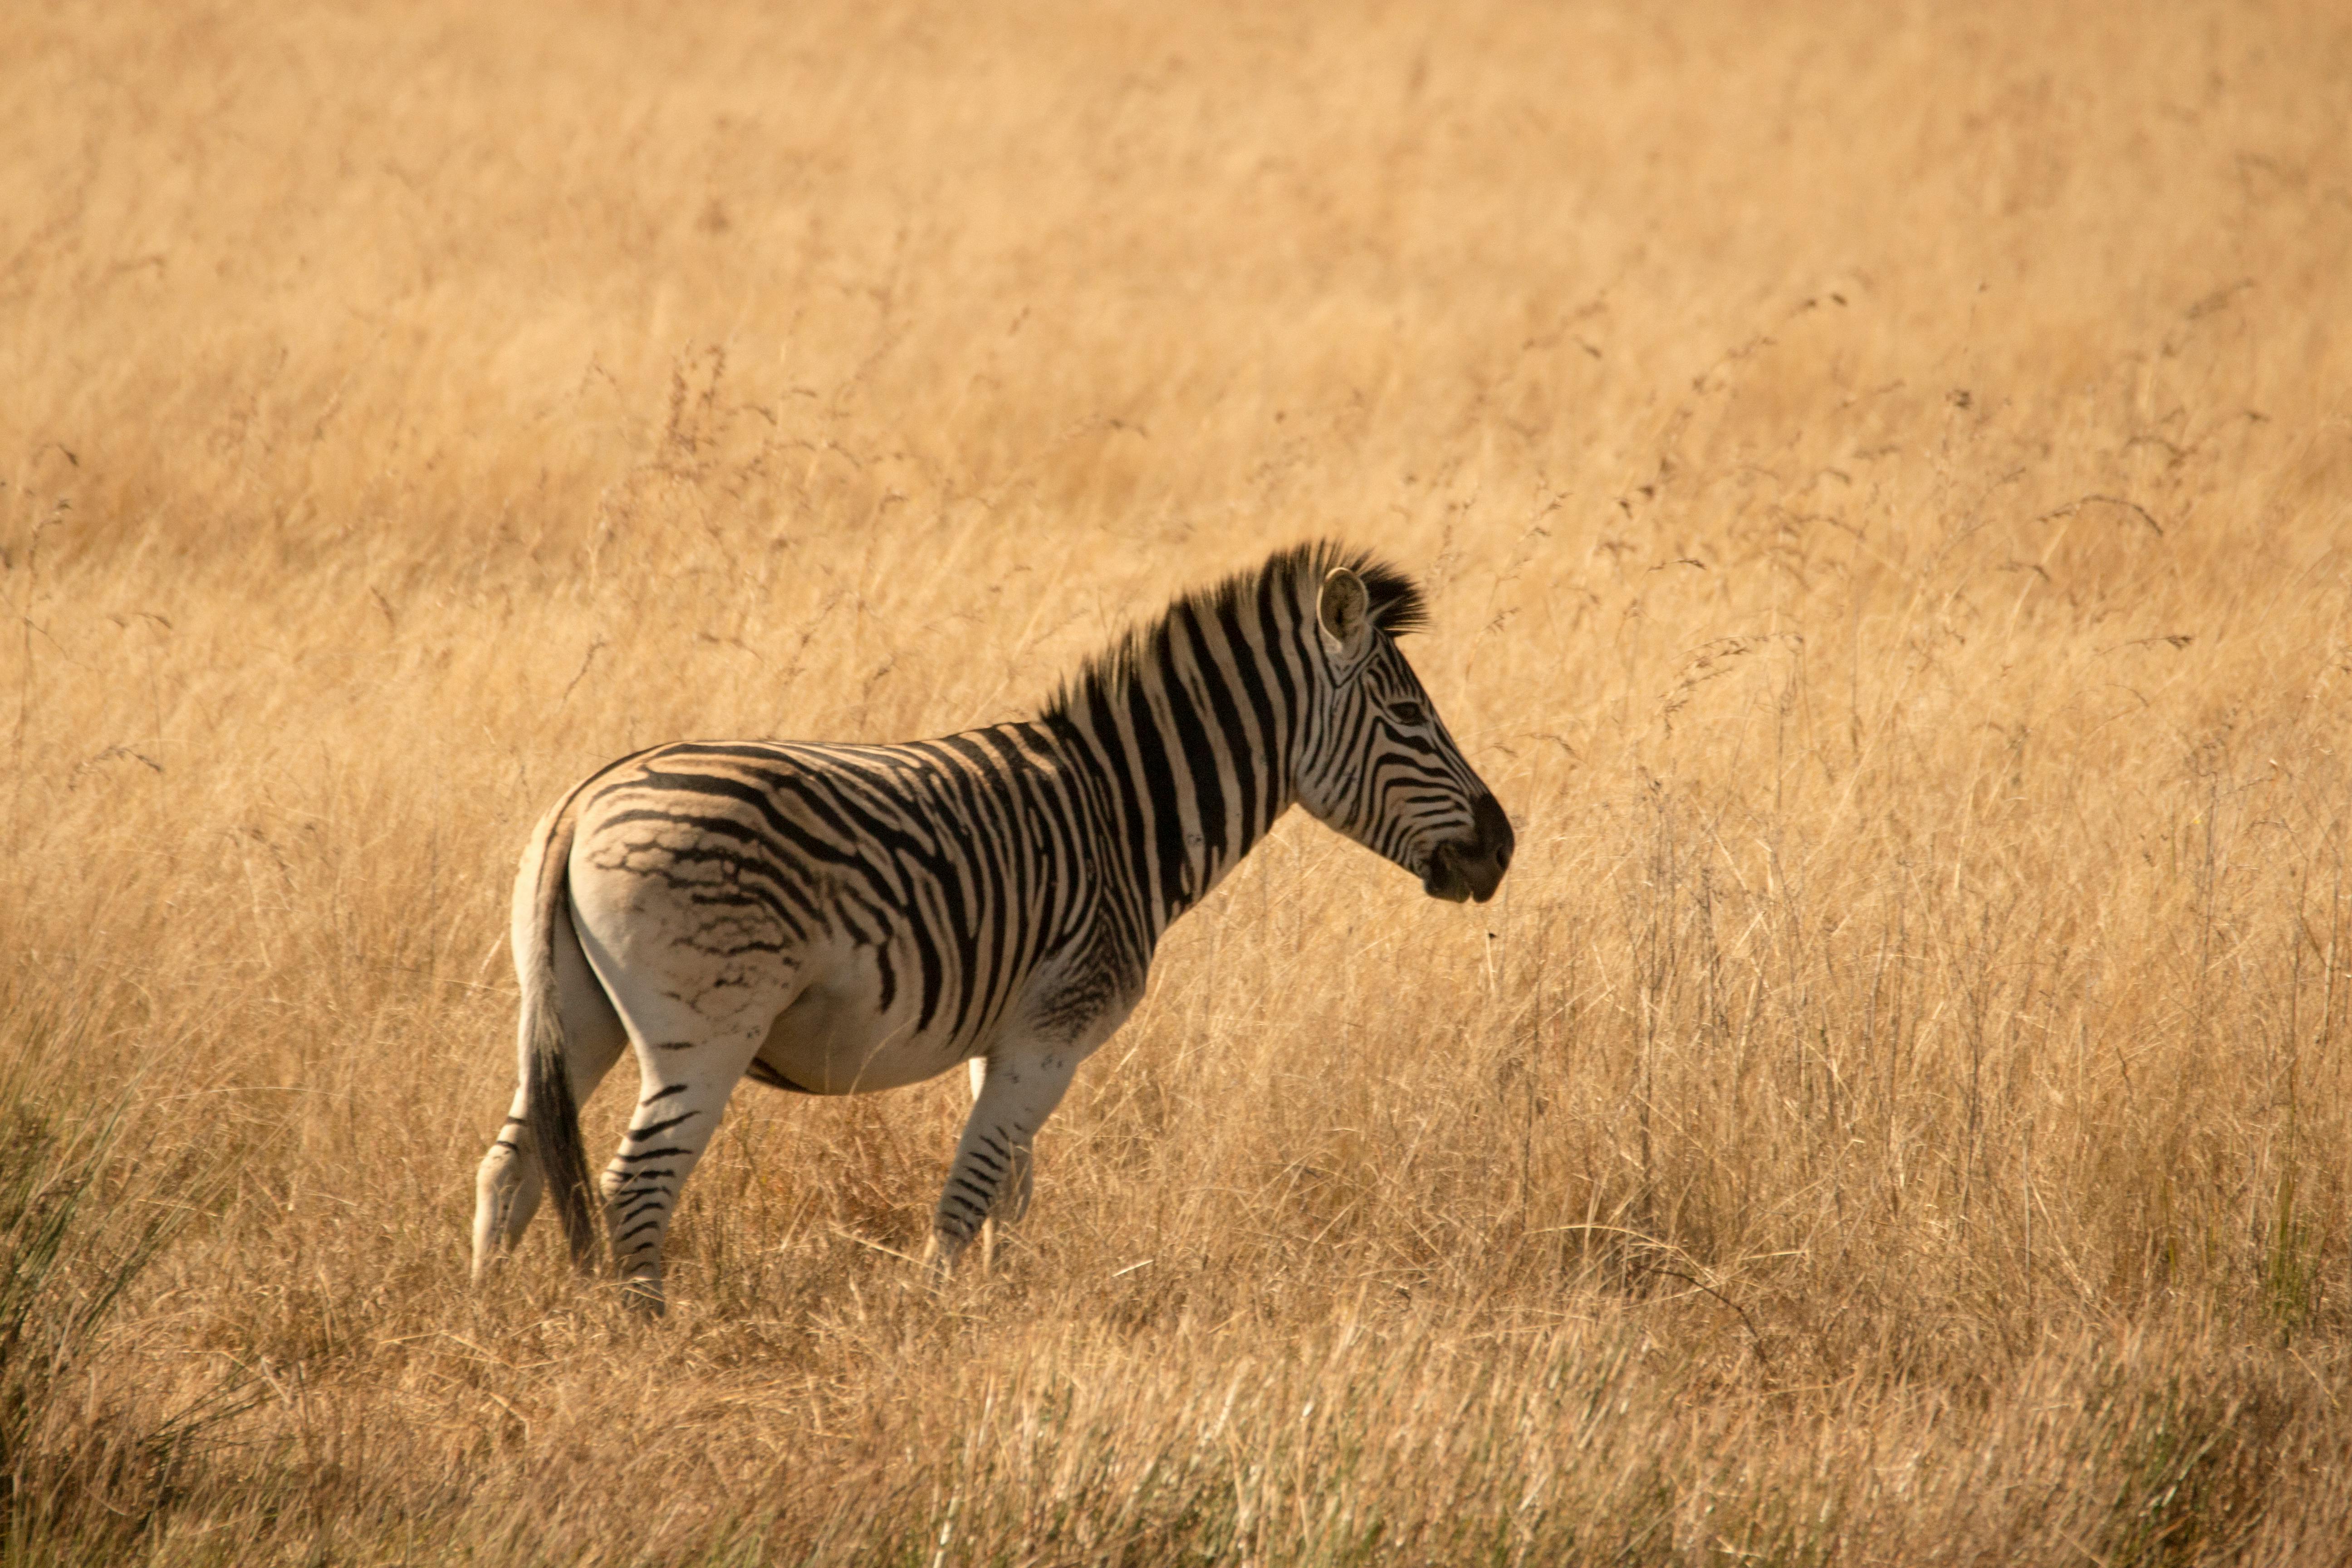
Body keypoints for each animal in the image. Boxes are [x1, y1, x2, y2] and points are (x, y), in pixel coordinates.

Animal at [470, 541, 1514, 1311]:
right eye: (1410, 717)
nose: (1503, 847)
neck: (1123, 814)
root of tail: (585, 801)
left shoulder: (1009, 1036)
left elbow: (1010, 1192)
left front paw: (995, 1309)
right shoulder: (1054, 1033)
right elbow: (970, 1193)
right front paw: (933, 1318)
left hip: (572, 1017)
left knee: (509, 1166)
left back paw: (486, 1321)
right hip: (705, 1032)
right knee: (634, 1188)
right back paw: (644, 1335)